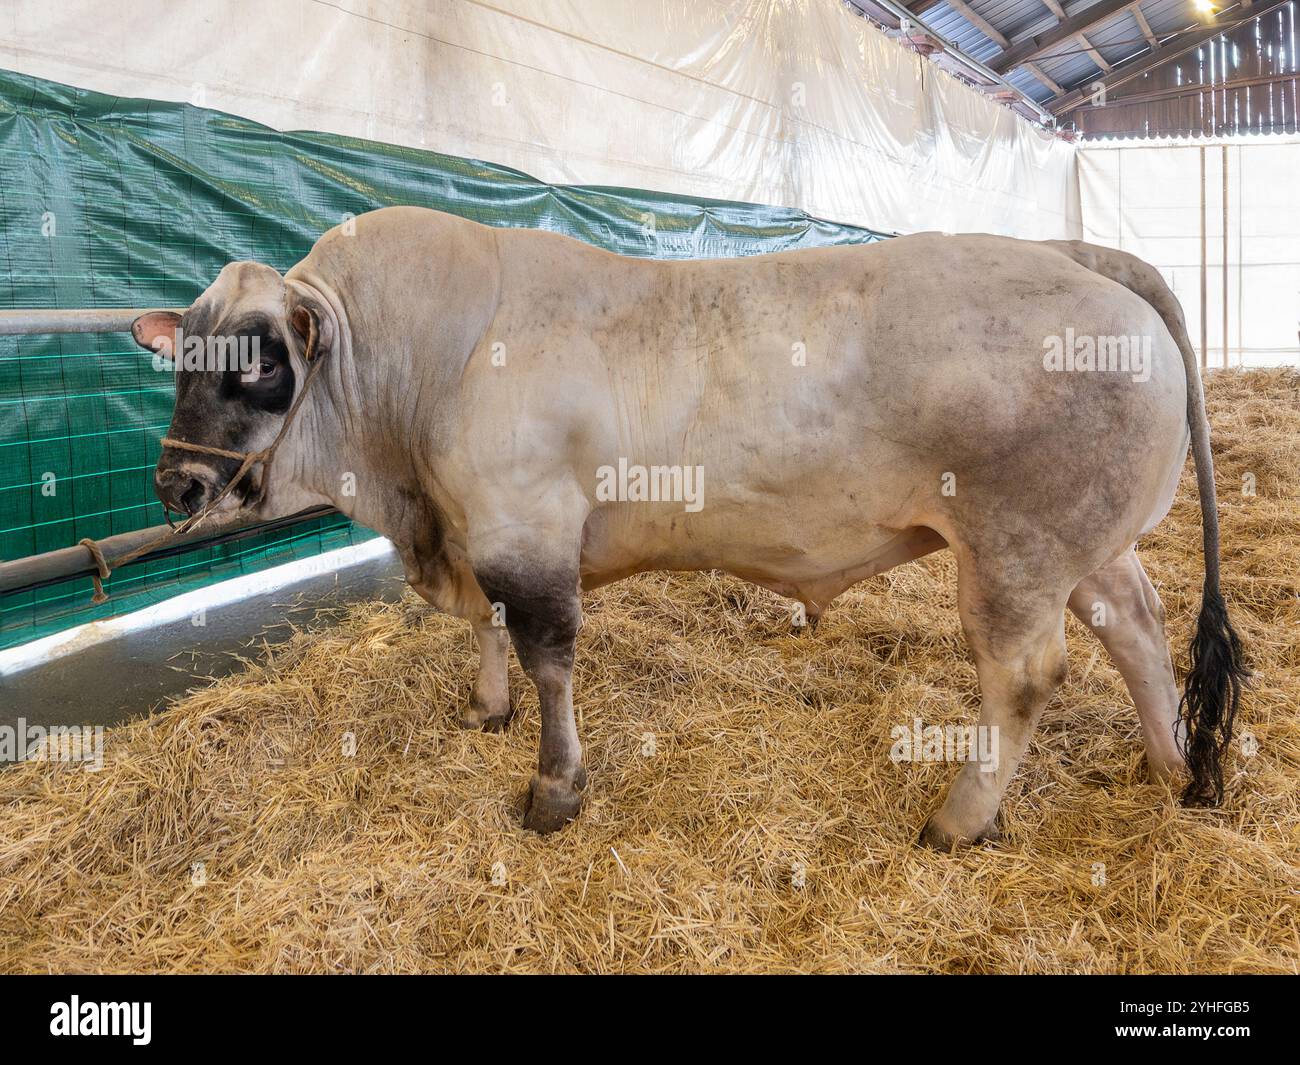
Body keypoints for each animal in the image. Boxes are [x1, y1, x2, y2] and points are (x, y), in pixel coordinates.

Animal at [131, 207, 1246, 848]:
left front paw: (554, 791)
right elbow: (486, 630)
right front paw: (488, 709)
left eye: (257, 362)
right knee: (1137, 626)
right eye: (180, 358)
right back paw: (1169, 766)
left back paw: (959, 818)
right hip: (1084, 545)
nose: (176, 483)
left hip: (1013, 551)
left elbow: (546, 656)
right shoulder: (480, 526)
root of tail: (1078, 254)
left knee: (1023, 676)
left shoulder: (528, 531)